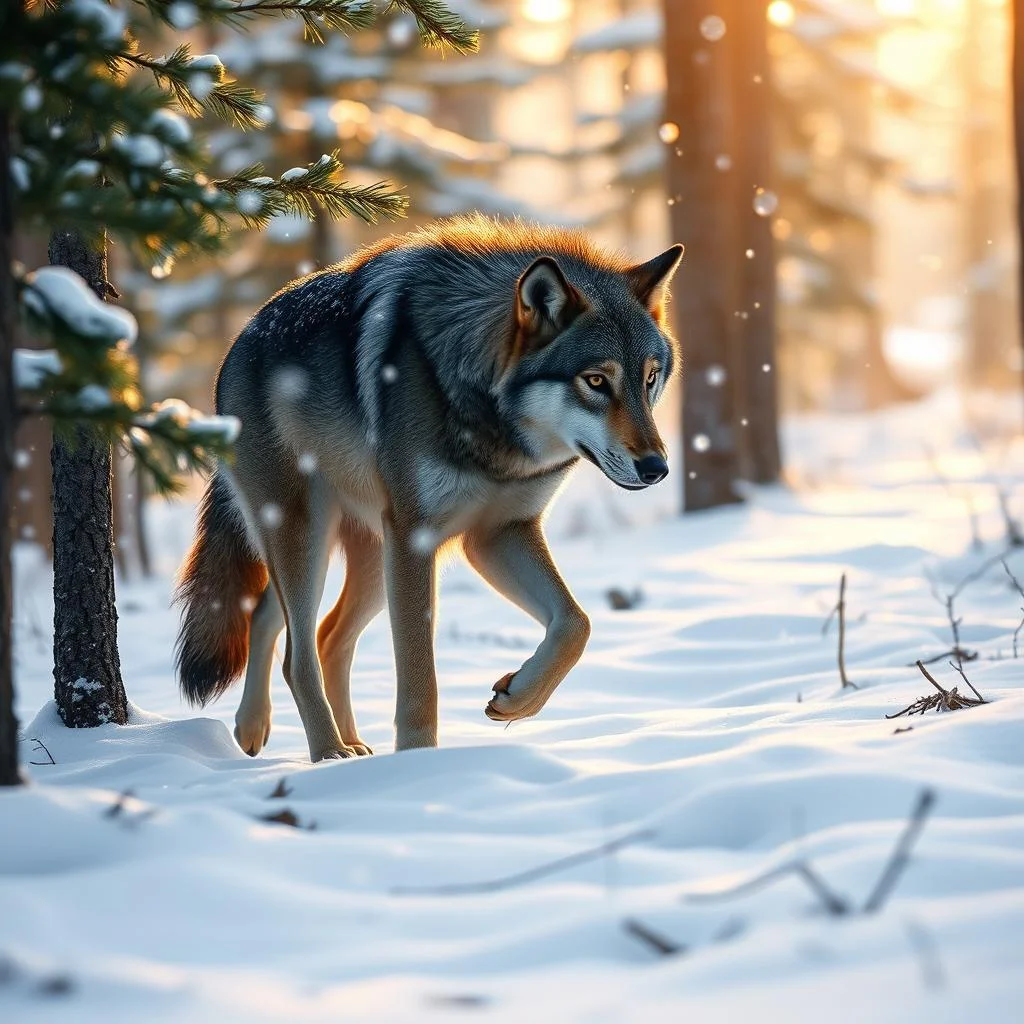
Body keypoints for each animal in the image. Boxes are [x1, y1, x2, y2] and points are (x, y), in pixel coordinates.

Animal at [175, 215, 683, 760]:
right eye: (596, 381)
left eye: (650, 379)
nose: (657, 467)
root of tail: (242, 337)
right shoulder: (417, 539)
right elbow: (421, 678)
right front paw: (419, 764)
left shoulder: (499, 532)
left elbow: (577, 624)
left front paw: (517, 701)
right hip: (310, 535)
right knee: (296, 650)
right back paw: (327, 752)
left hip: (372, 557)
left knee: (305, 627)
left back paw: (310, 740)